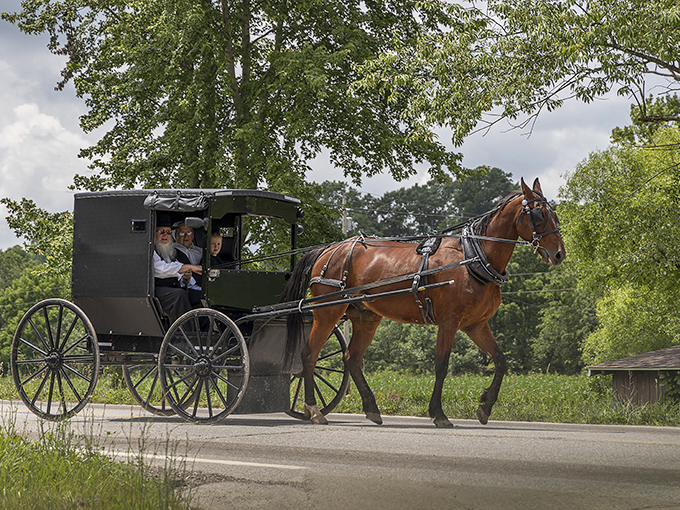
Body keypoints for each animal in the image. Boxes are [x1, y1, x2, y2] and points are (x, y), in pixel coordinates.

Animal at [281, 178, 565, 428]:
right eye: (539, 215)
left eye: (554, 214)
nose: (559, 253)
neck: (474, 258)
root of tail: (327, 250)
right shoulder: (449, 322)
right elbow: (441, 366)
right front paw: (439, 414)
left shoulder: (476, 325)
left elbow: (501, 361)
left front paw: (485, 407)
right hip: (327, 313)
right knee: (309, 355)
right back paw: (314, 410)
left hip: (366, 317)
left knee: (351, 359)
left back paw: (371, 409)